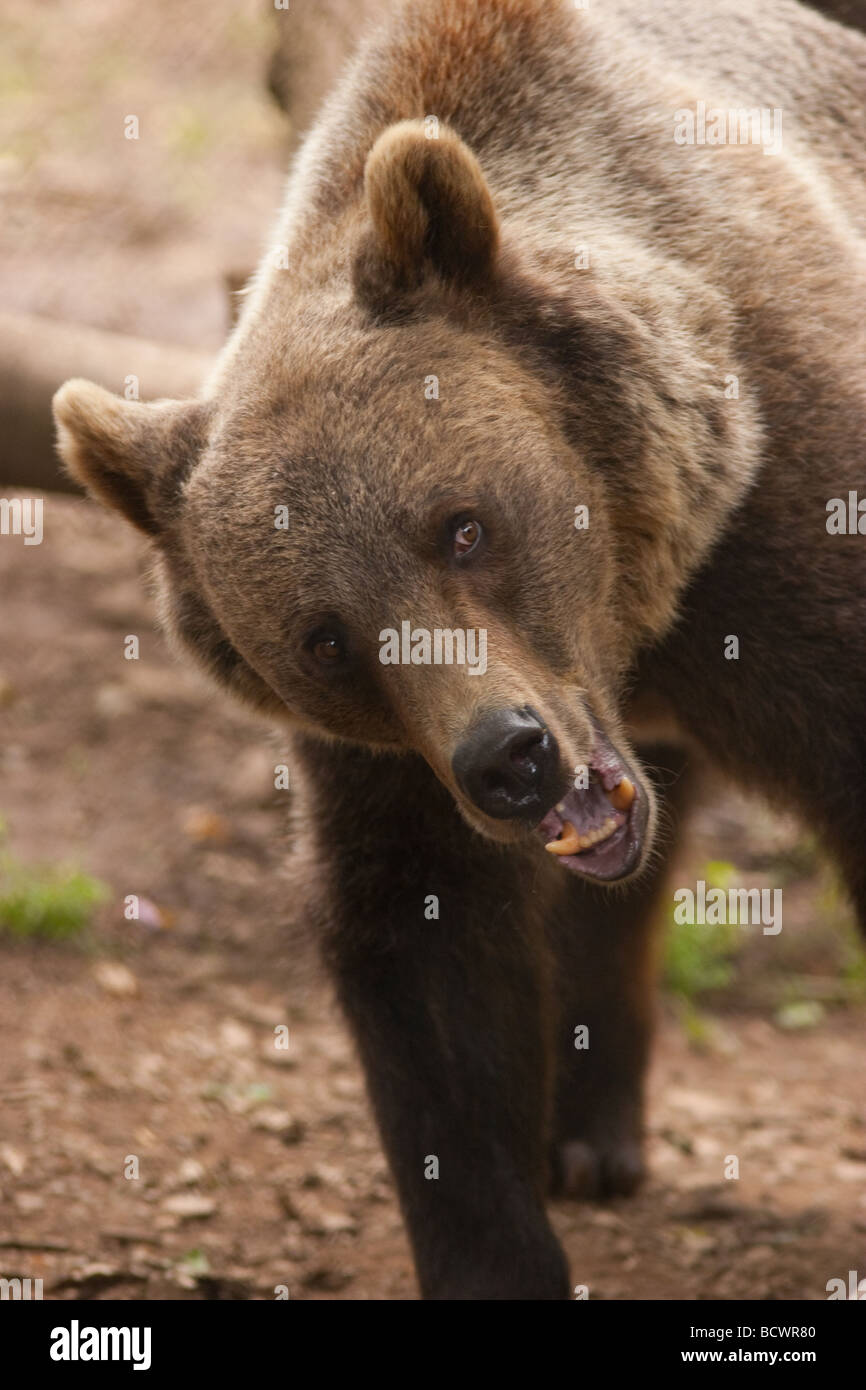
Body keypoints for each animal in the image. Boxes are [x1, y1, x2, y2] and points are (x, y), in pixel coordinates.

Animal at [53, 0, 865, 1299]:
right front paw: (498, 1241)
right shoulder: (393, 760)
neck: (644, 600)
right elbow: (422, 950)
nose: (508, 758)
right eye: (325, 638)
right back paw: (586, 1130)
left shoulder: (786, 522)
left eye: (462, 525)